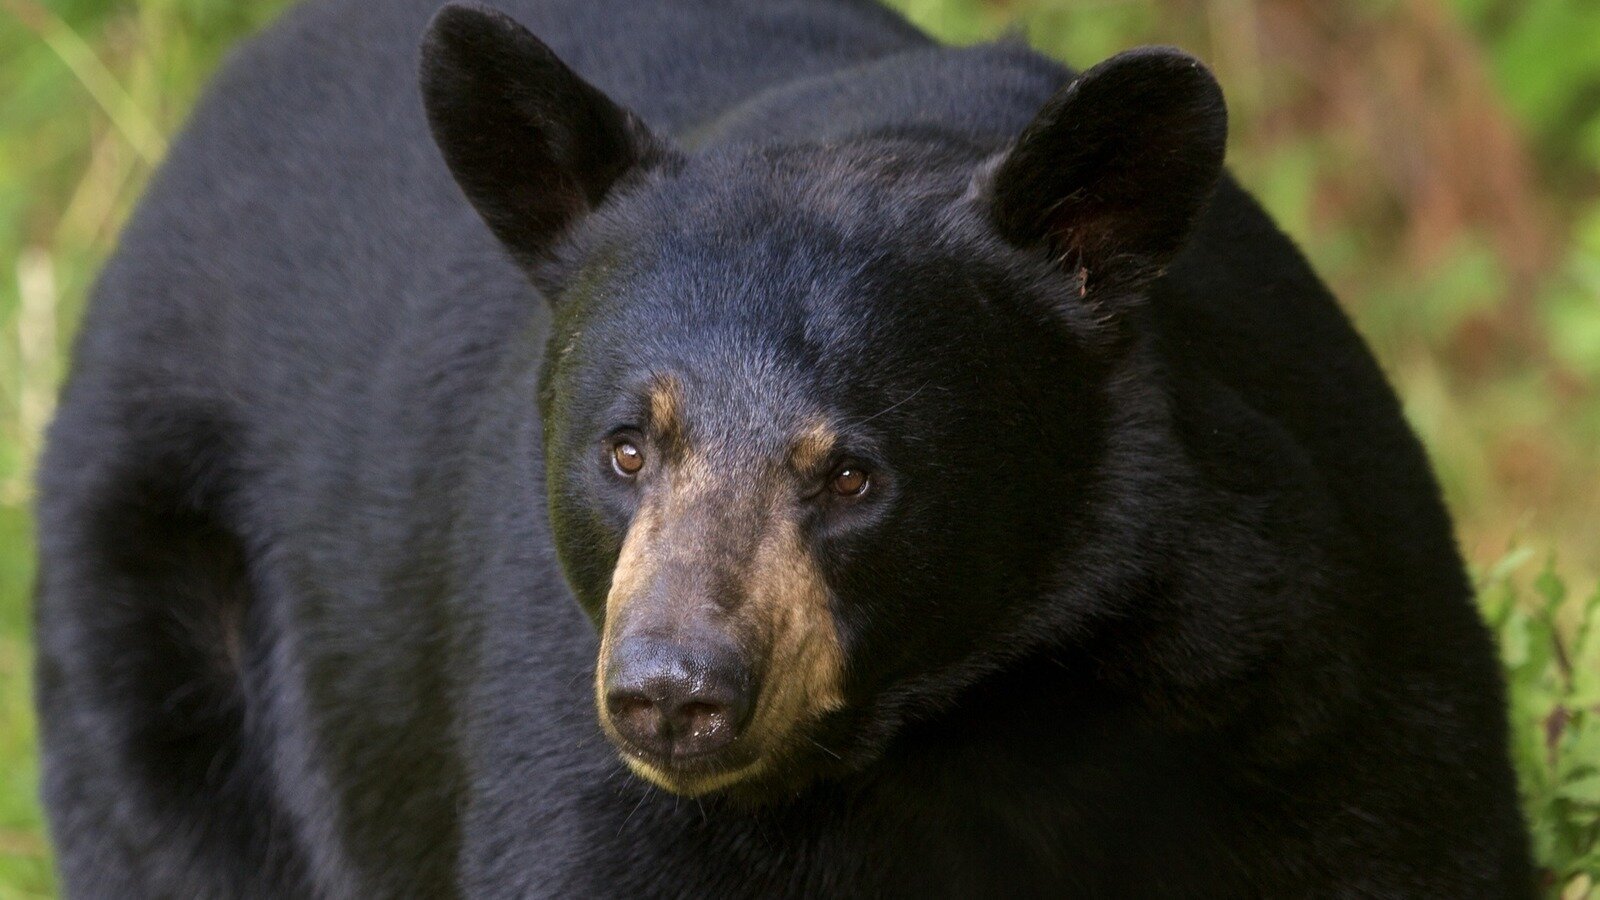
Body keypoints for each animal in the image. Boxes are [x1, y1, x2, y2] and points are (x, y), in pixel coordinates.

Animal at [34, 0, 1531, 895]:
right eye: (625, 448)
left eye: (853, 473)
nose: (675, 694)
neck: (975, 722)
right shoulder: (579, 751)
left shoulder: (1313, 645)